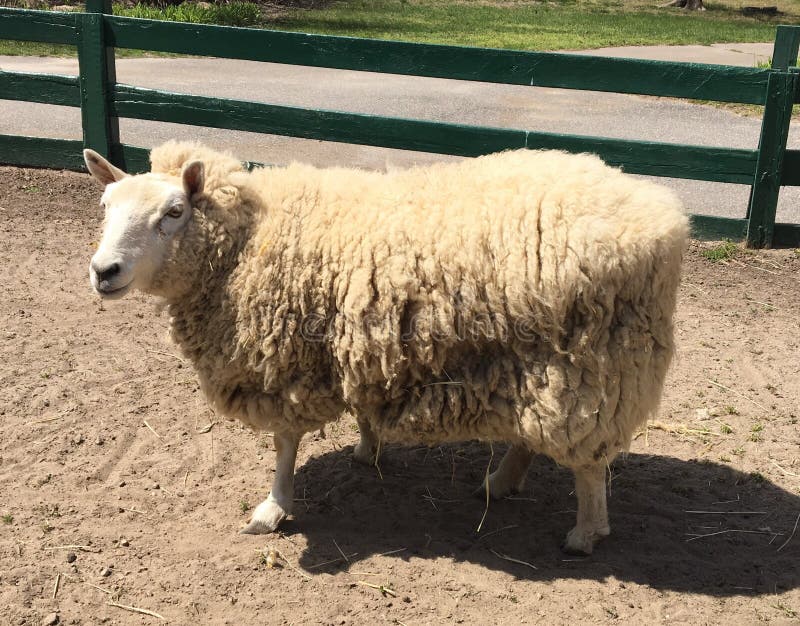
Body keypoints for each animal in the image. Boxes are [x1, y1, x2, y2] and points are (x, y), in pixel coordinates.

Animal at [85, 141, 688, 555]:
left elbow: (283, 444)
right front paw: (365, 448)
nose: (103, 271)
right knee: (533, 435)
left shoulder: (285, 363)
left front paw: (274, 507)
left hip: (591, 363)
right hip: (536, 365)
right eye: (106, 204)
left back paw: (586, 531)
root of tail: (666, 216)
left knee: (587, 460)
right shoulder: (354, 346)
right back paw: (501, 482)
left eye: (174, 212)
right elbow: (359, 412)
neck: (247, 242)